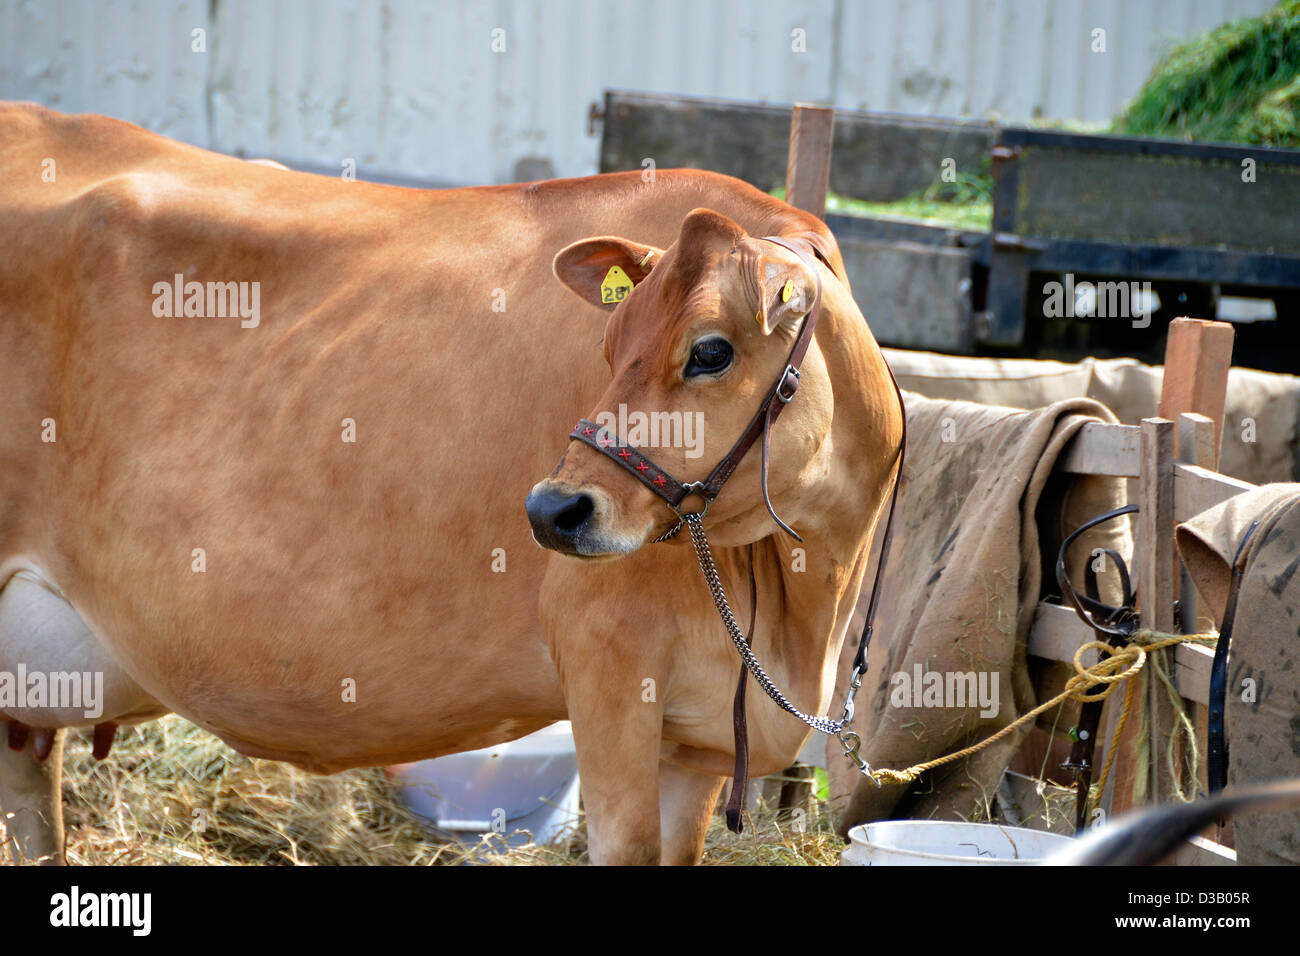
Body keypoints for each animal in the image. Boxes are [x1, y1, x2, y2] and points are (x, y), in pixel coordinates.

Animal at [0, 102, 902, 866]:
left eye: (711, 350)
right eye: (609, 343)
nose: (551, 509)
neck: (804, 601)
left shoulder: (701, 737)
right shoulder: (608, 667)